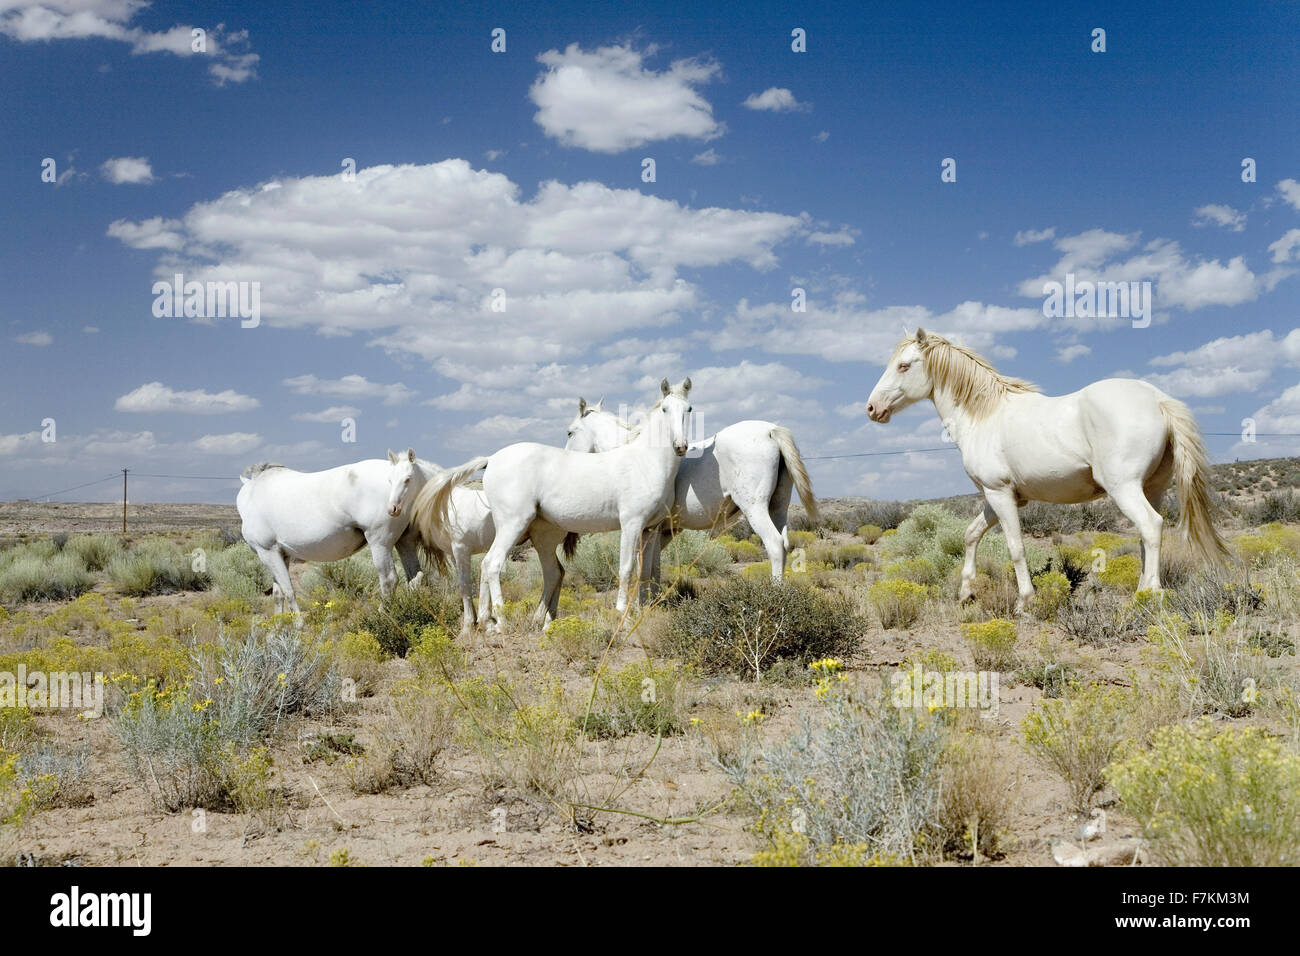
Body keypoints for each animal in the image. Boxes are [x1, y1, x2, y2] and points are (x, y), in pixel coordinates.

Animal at [237, 449, 438, 614]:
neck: (252, 495)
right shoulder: (280, 555)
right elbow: (278, 595)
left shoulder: (268, 552)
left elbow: (288, 591)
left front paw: (298, 627)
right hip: (403, 542)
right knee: (415, 577)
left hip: (380, 543)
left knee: (389, 580)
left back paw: (382, 615)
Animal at [412, 378, 693, 632]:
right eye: (665, 409)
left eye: (689, 409)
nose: (680, 446)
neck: (643, 461)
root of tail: (491, 459)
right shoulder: (631, 524)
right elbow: (626, 569)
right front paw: (621, 614)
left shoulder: (650, 529)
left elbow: (645, 571)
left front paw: (640, 611)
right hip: (512, 525)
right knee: (491, 564)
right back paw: (501, 623)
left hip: (536, 536)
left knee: (543, 572)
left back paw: (506, 622)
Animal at [563, 399, 818, 585]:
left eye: (570, 433)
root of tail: (770, 430)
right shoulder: (664, 531)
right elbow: (653, 569)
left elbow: (643, 569)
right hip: (778, 508)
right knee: (785, 544)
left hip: (755, 509)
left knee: (774, 545)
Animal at [865, 328, 1227, 611]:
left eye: (903, 365)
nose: (871, 408)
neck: (984, 416)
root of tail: (1158, 400)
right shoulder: (999, 497)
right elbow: (971, 535)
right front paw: (966, 592)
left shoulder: (1000, 495)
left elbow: (1015, 547)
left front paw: (1025, 600)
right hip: (1152, 488)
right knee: (1146, 534)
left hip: (1124, 487)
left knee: (1151, 526)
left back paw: (1148, 594)